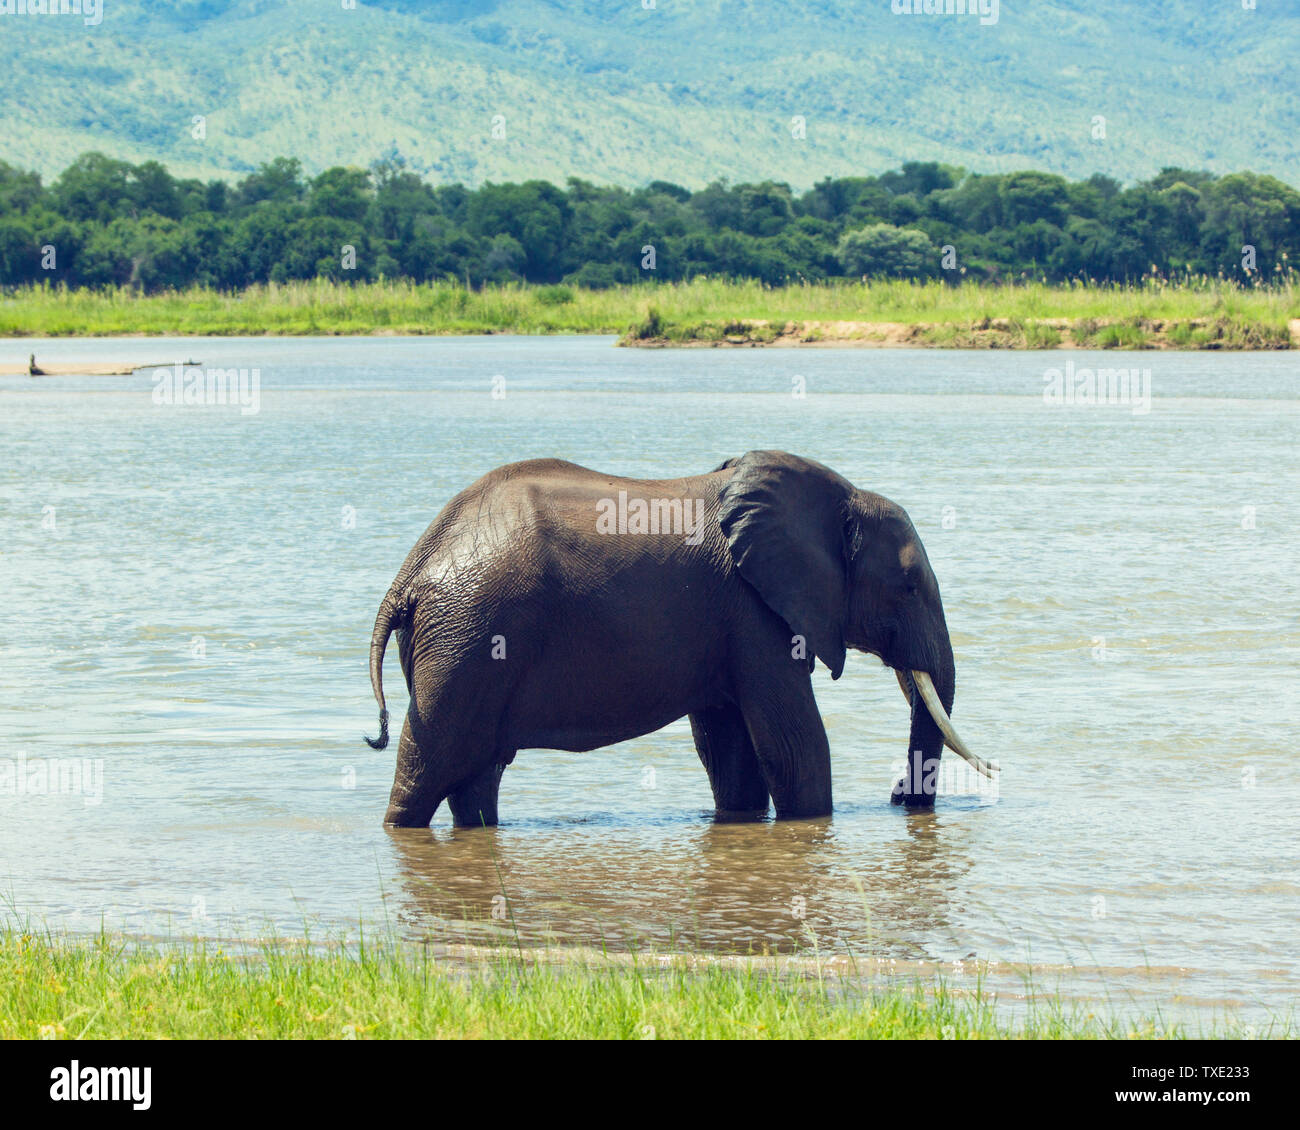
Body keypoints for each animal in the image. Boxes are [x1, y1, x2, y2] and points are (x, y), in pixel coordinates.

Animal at [365, 450, 995, 828]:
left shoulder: (727, 623)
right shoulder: (753, 610)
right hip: (468, 638)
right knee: (432, 764)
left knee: (475, 775)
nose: (899, 795)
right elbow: (793, 746)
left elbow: (732, 752)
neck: (840, 493)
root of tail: (414, 566)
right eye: (908, 588)